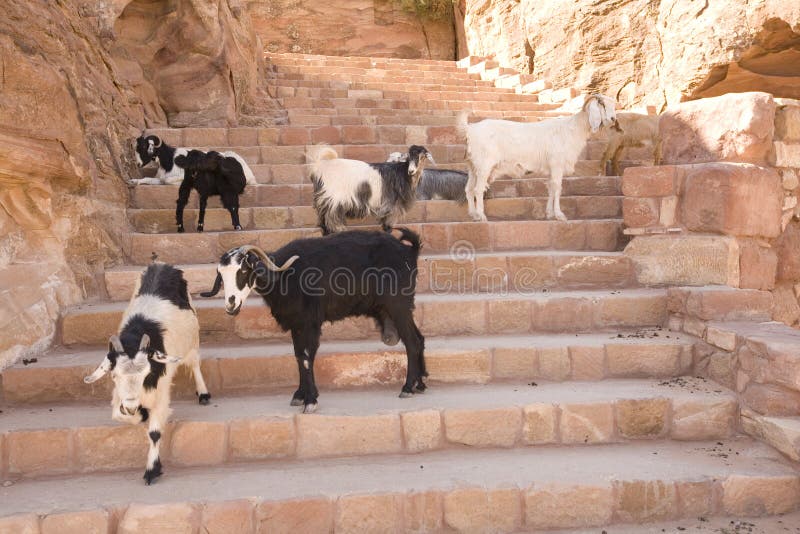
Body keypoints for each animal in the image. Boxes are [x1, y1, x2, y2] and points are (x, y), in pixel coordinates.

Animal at [84, 263, 210, 485]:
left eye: (146, 374)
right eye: (114, 376)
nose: (132, 406)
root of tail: (162, 265)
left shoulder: (161, 391)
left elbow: (154, 432)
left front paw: (152, 470)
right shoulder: (120, 395)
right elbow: (119, 414)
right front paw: (140, 414)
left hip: (192, 340)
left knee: (195, 363)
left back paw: (202, 393)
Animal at [201, 229, 426, 413]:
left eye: (244, 270)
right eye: (221, 275)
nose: (231, 304)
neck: (285, 277)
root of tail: (410, 252)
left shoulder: (309, 322)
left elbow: (306, 357)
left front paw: (310, 400)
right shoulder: (296, 324)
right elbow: (298, 355)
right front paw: (300, 395)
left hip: (398, 305)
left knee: (412, 342)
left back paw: (407, 387)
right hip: (402, 307)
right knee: (419, 338)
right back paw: (420, 383)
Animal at [457, 95, 619, 222]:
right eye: (602, 104)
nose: (613, 119)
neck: (572, 129)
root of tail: (470, 129)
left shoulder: (551, 169)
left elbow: (550, 188)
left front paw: (549, 214)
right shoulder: (557, 164)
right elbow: (557, 188)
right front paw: (560, 215)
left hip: (473, 166)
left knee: (469, 189)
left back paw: (473, 215)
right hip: (484, 166)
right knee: (478, 189)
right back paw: (482, 216)